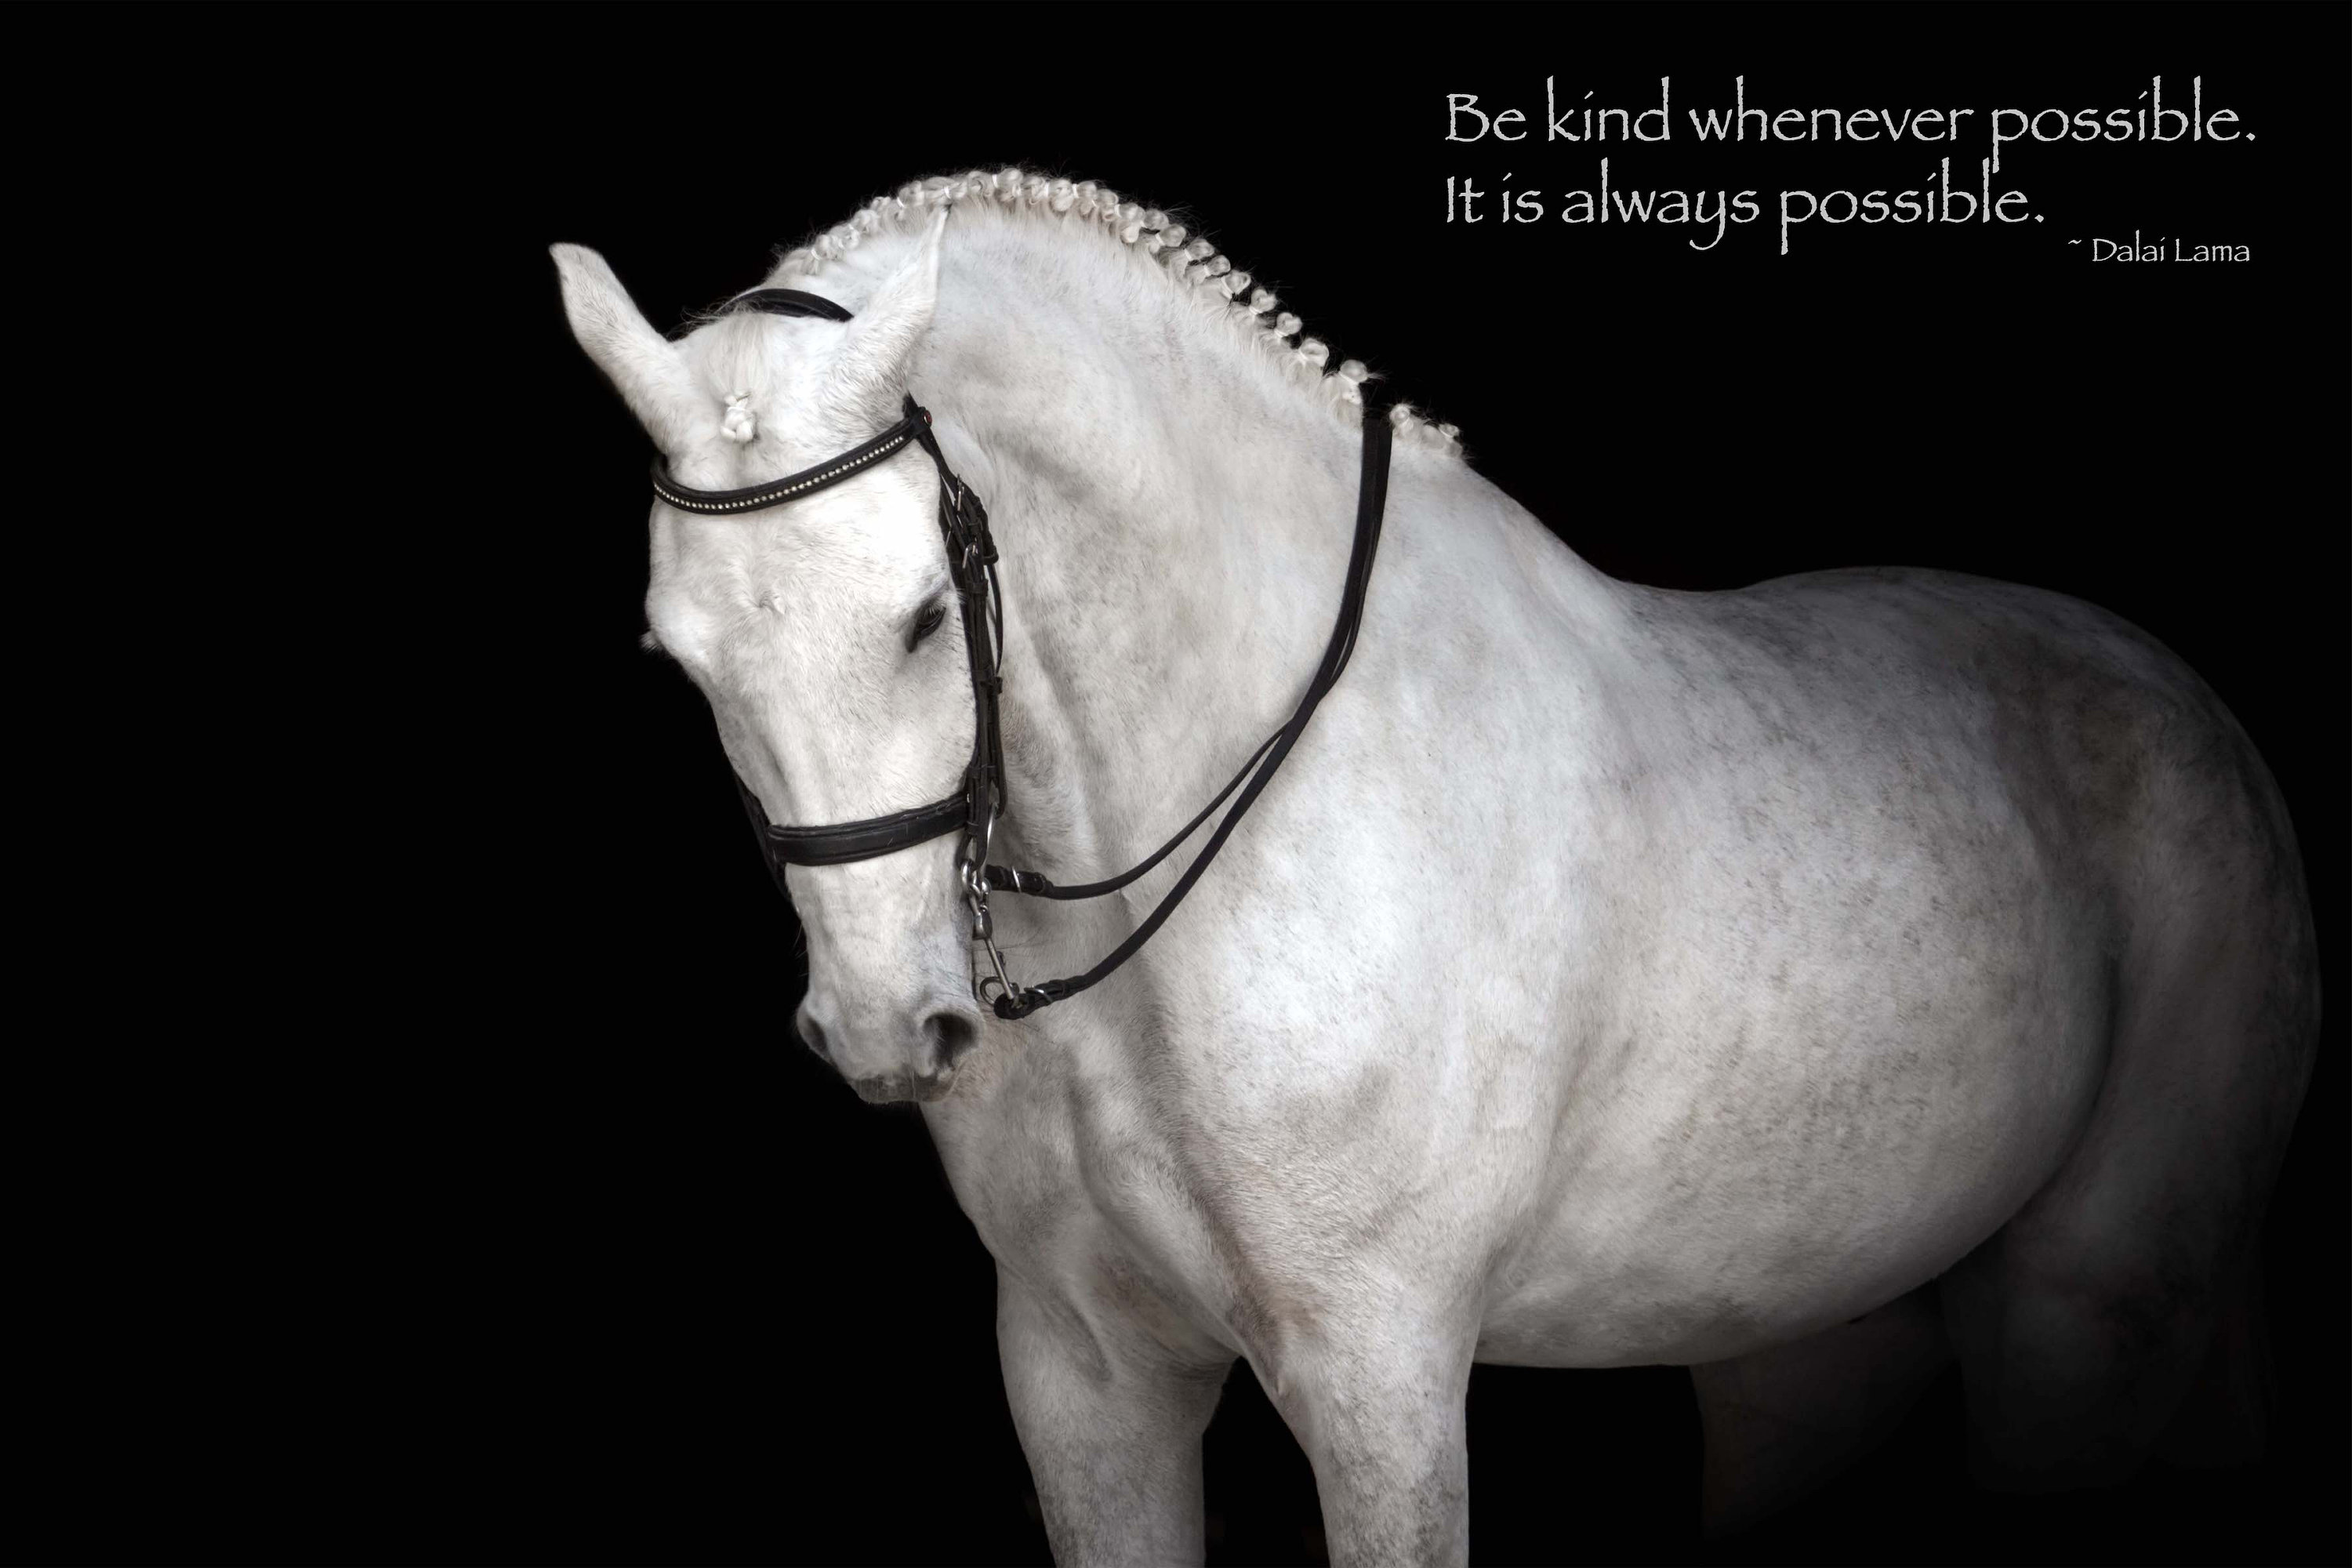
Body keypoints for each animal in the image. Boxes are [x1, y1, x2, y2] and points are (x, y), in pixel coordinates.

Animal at [553, 168, 2319, 1566]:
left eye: (925, 617)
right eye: (676, 658)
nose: (880, 1028)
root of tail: (2188, 704)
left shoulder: (1380, 1372)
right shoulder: (1084, 1377)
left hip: (2085, 1309)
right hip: (1807, 1334)